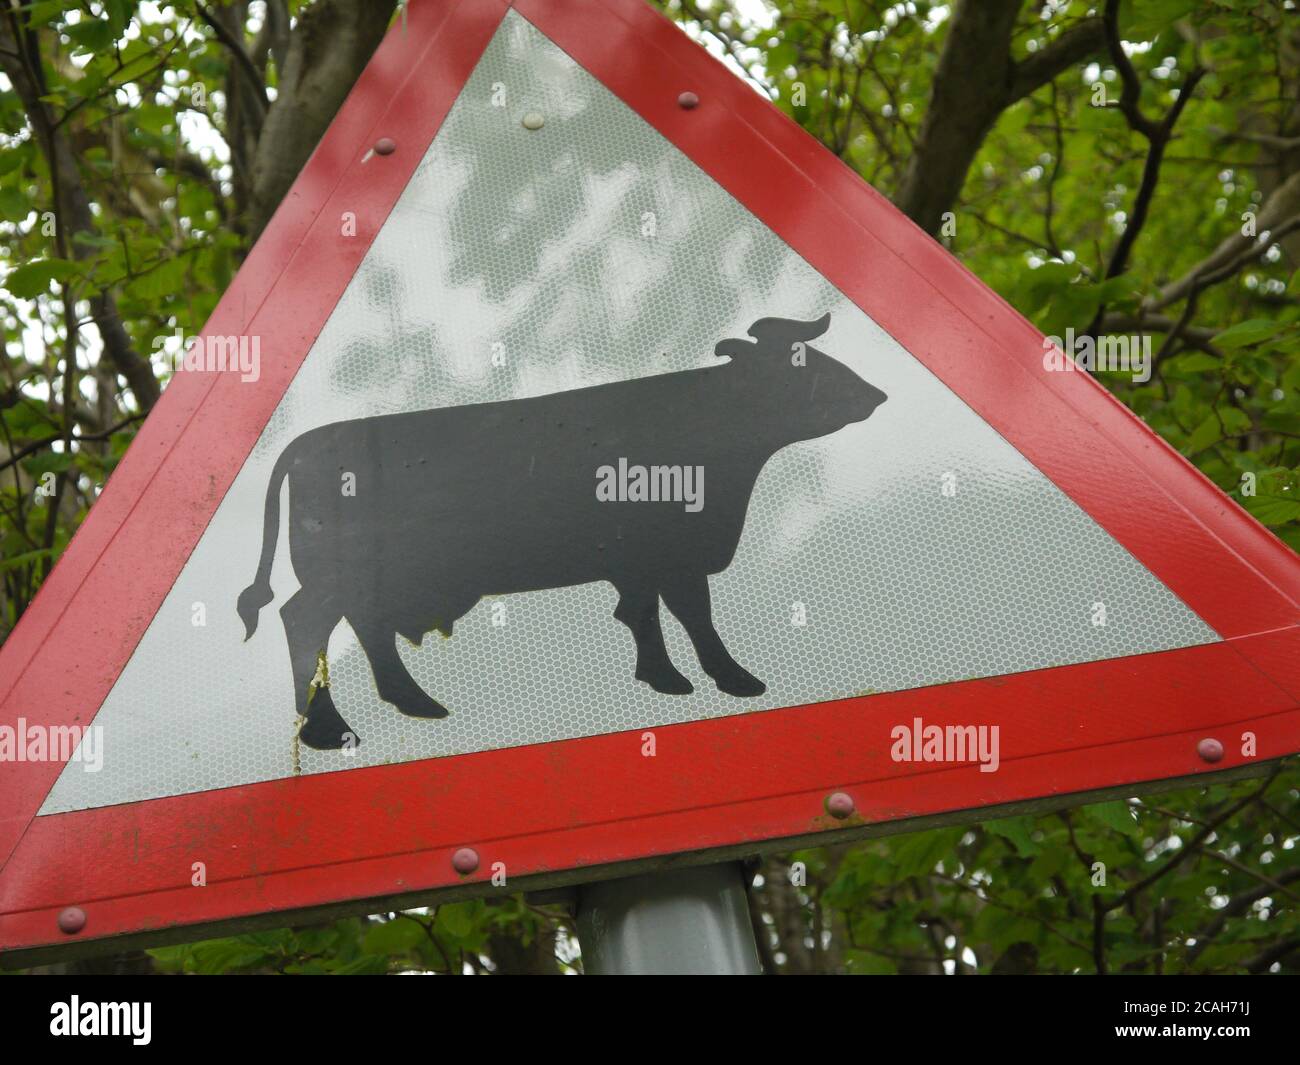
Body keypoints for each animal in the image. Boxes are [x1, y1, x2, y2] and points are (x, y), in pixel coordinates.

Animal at [237, 313, 888, 750]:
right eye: (798, 363)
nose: (876, 393)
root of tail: (306, 443)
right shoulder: (670, 556)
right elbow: (686, 616)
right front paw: (724, 679)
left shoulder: (650, 561)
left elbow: (653, 615)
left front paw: (677, 679)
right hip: (338, 578)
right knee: (304, 622)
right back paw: (327, 731)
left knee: (368, 632)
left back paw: (416, 705)